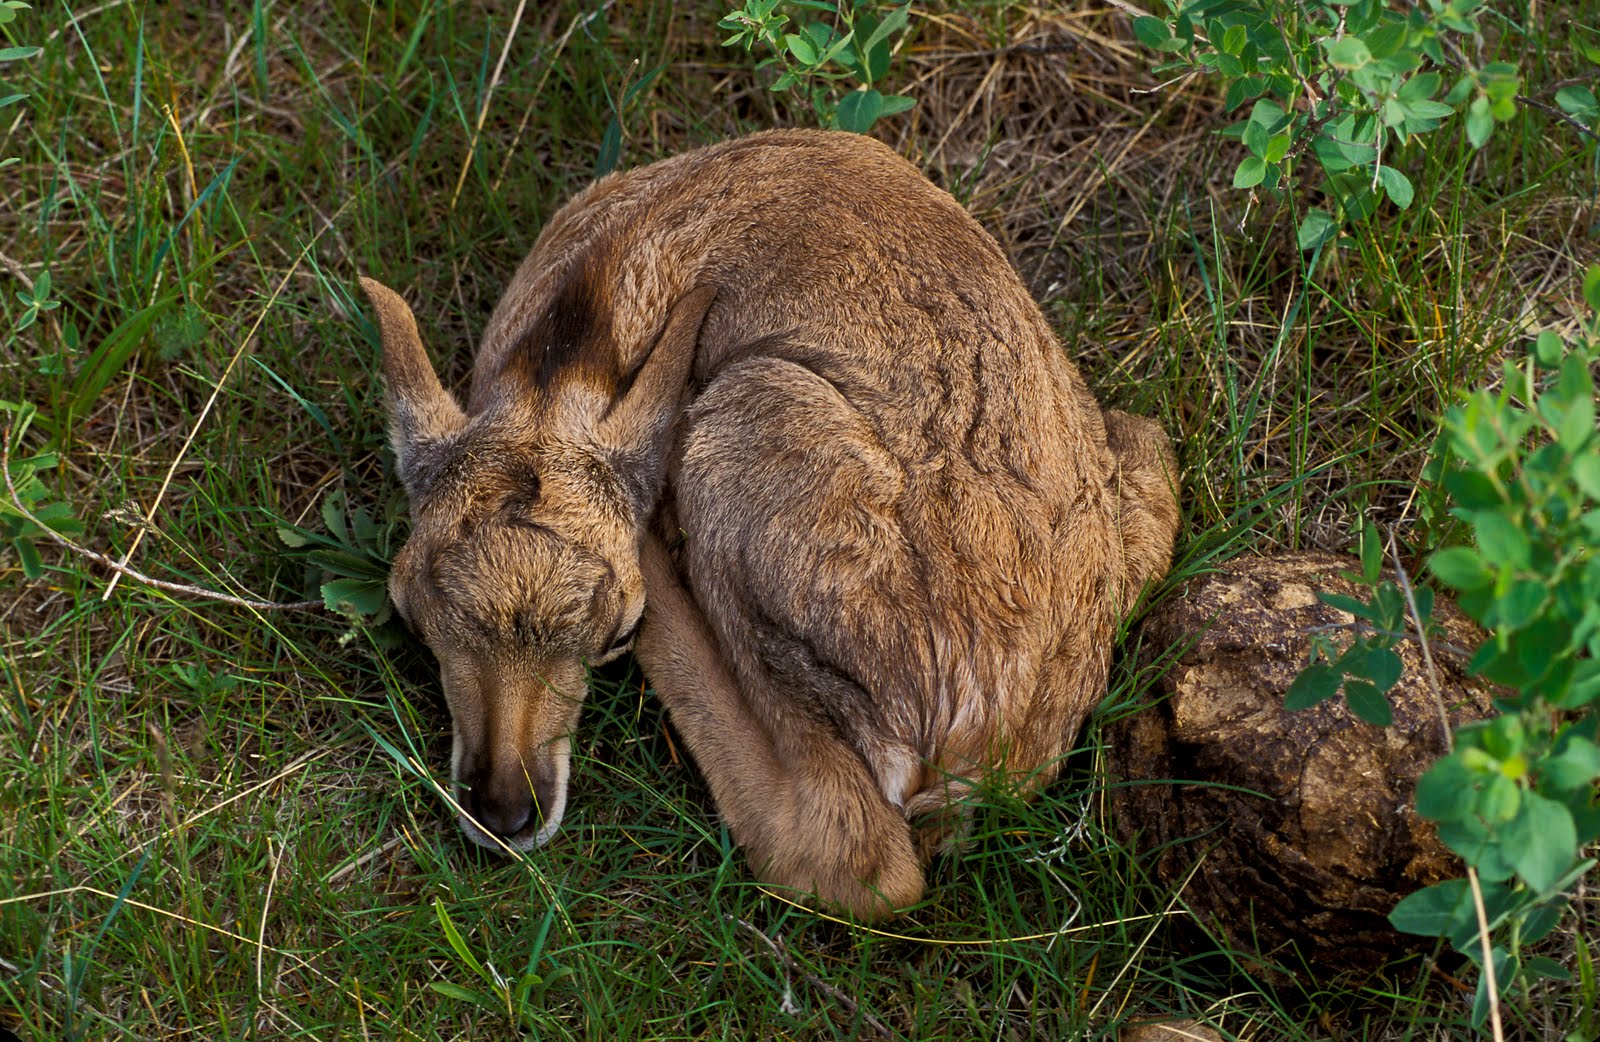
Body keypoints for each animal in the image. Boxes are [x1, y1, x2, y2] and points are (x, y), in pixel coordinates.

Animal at [359, 128, 1180, 921]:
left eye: (619, 632)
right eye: (409, 613)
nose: (505, 813)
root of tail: (989, 746)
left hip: (747, 411)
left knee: (853, 853)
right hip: (1139, 463)